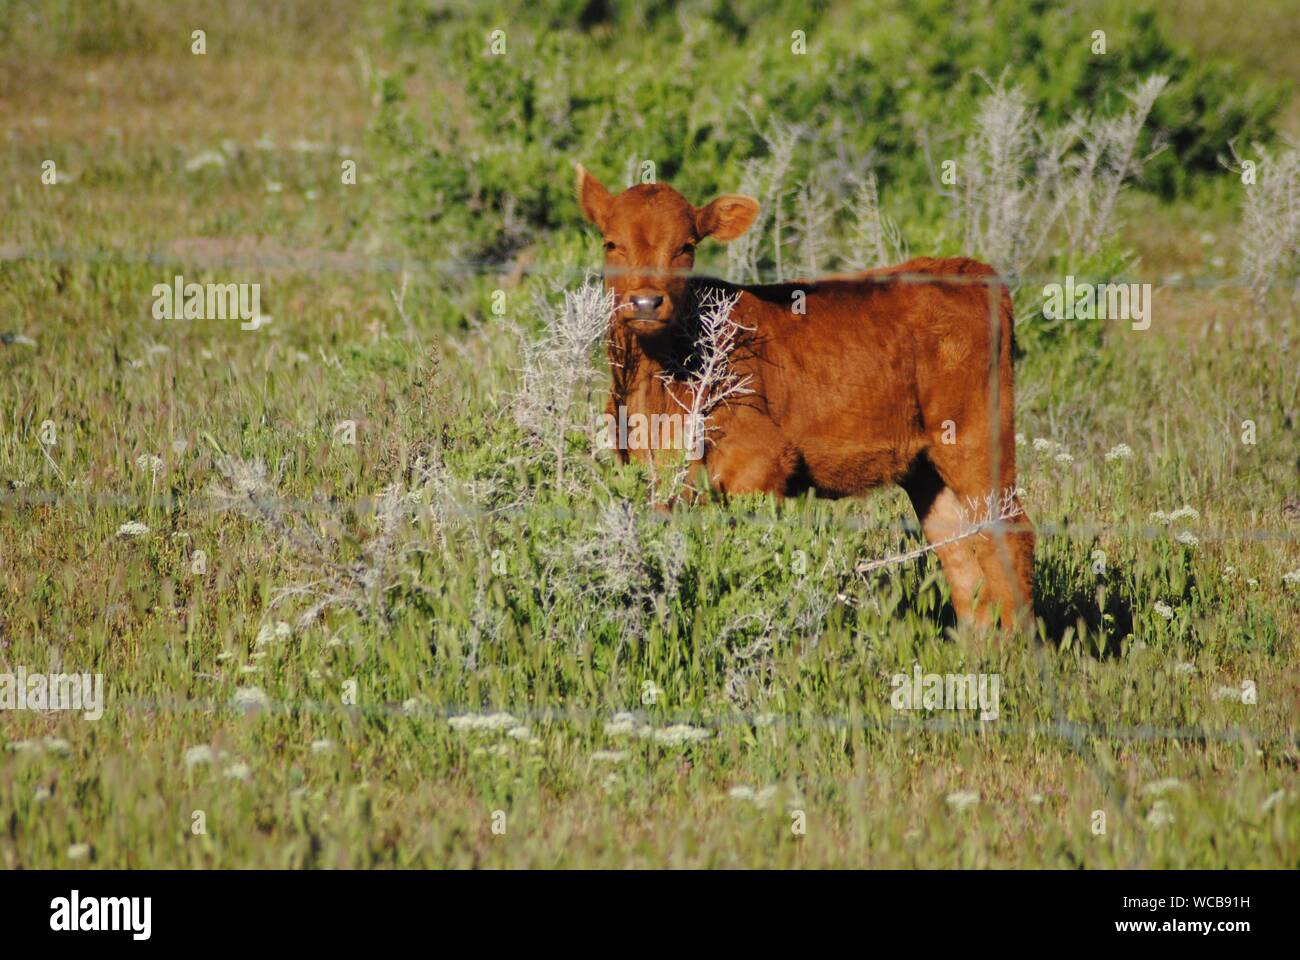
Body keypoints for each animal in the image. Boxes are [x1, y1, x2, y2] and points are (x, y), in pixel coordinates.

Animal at [576, 164, 1035, 633]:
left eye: (686, 247)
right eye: (611, 243)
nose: (646, 301)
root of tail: (970, 271)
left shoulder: (760, 462)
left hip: (976, 440)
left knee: (1009, 530)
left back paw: (1019, 646)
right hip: (927, 467)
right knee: (959, 546)